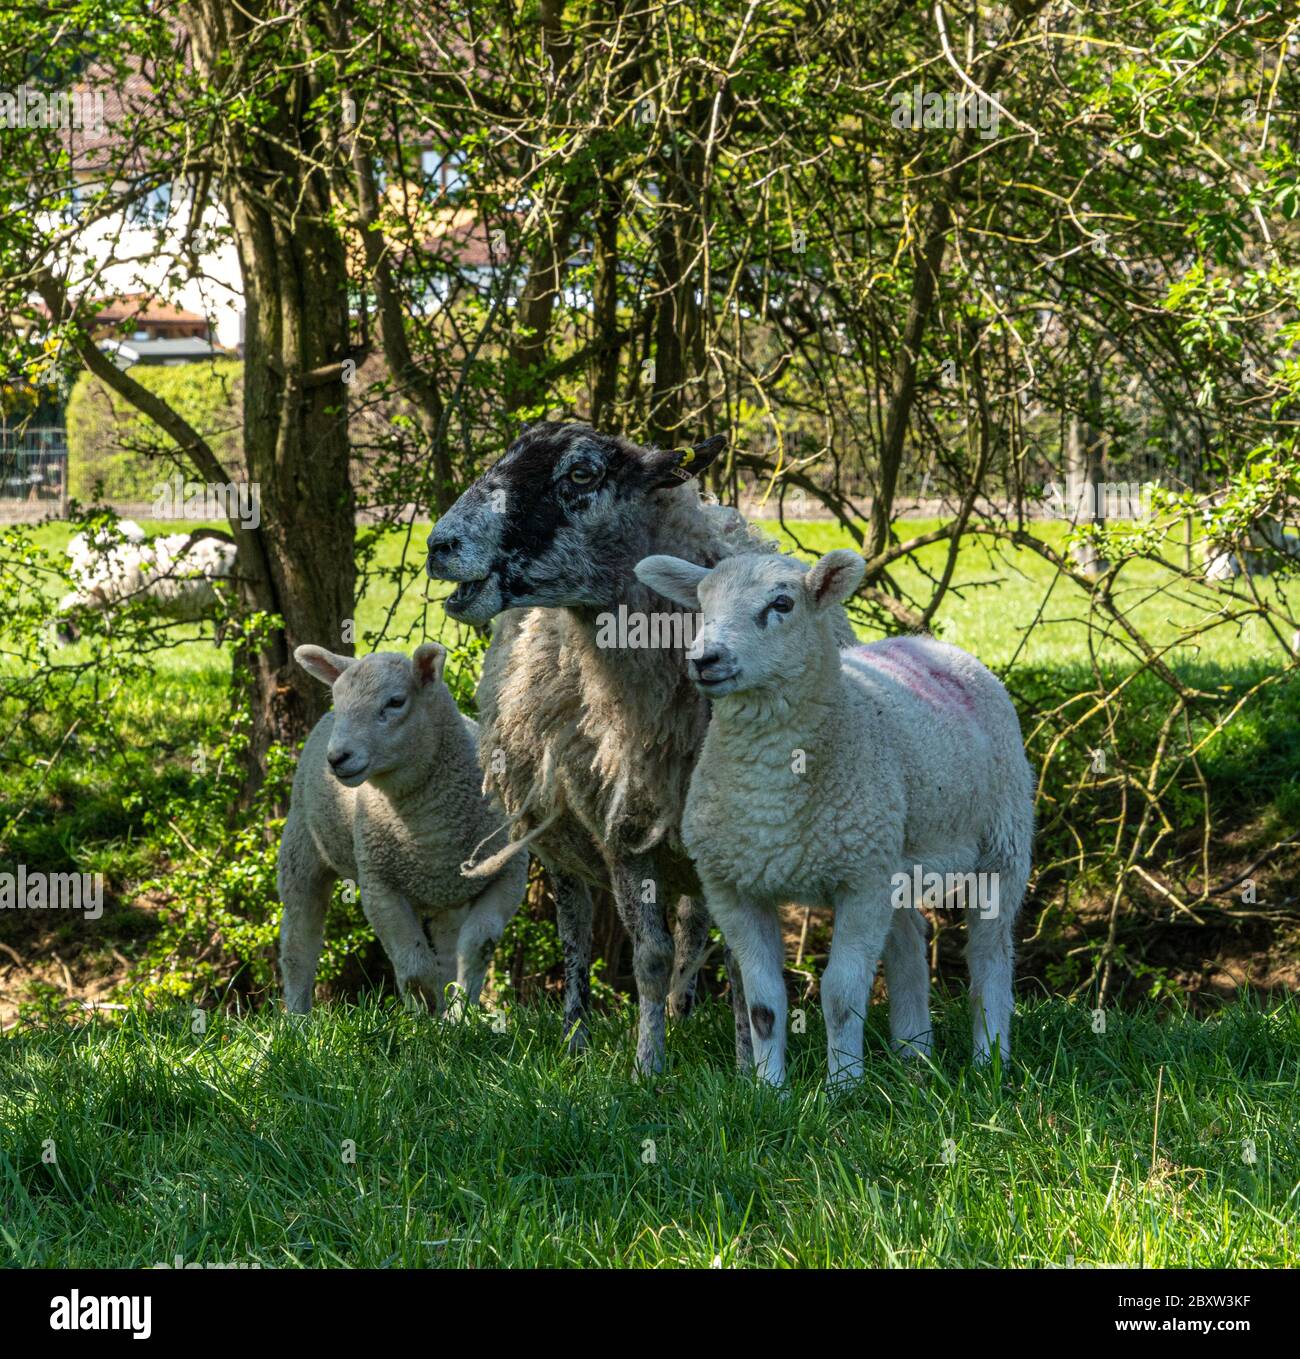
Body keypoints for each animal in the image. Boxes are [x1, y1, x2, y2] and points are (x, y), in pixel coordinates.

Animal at [277, 641, 528, 1016]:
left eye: (395, 702)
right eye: (338, 701)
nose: (337, 758)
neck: (428, 830)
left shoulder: (508, 875)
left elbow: (476, 946)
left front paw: (460, 1015)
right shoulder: (380, 887)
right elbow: (413, 966)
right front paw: (422, 1018)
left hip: (446, 896)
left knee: (448, 948)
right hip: (301, 846)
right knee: (298, 943)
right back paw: (297, 1019)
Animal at [425, 421, 903, 1077]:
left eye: (582, 473)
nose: (439, 545)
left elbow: (736, 962)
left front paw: (741, 1065)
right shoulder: (623, 832)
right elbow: (649, 956)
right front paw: (648, 1066)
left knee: (695, 929)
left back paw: (685, 1011)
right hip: (557, 836)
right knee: (575, 930)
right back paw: (577, 1040)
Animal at [634, 548, 1037, 1088]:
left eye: (782, 604)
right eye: (702, 604)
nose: (704, 660)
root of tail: (930, 644)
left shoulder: (859, 881)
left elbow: (842, 995)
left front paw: (844, 1087)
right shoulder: (733, 887)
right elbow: (764, 1004)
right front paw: (770, 1090)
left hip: (1001, 844)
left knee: (989, 956)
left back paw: (989, 1060)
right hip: (892, 854)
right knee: (908, 945)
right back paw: (913, 1056)